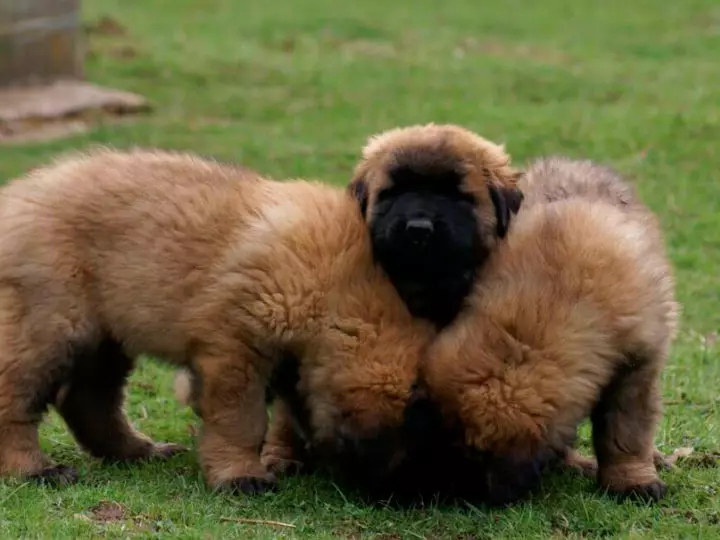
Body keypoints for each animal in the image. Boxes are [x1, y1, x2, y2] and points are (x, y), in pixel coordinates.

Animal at [0, 148, 434, 494]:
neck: (334, 289)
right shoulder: (235, 349)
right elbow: (241, 419)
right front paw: (241, 476)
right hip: (47, 322)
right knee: (16, 397)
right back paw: (33, 470)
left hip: (106, 336)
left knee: (88, 398)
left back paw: (137, 451)